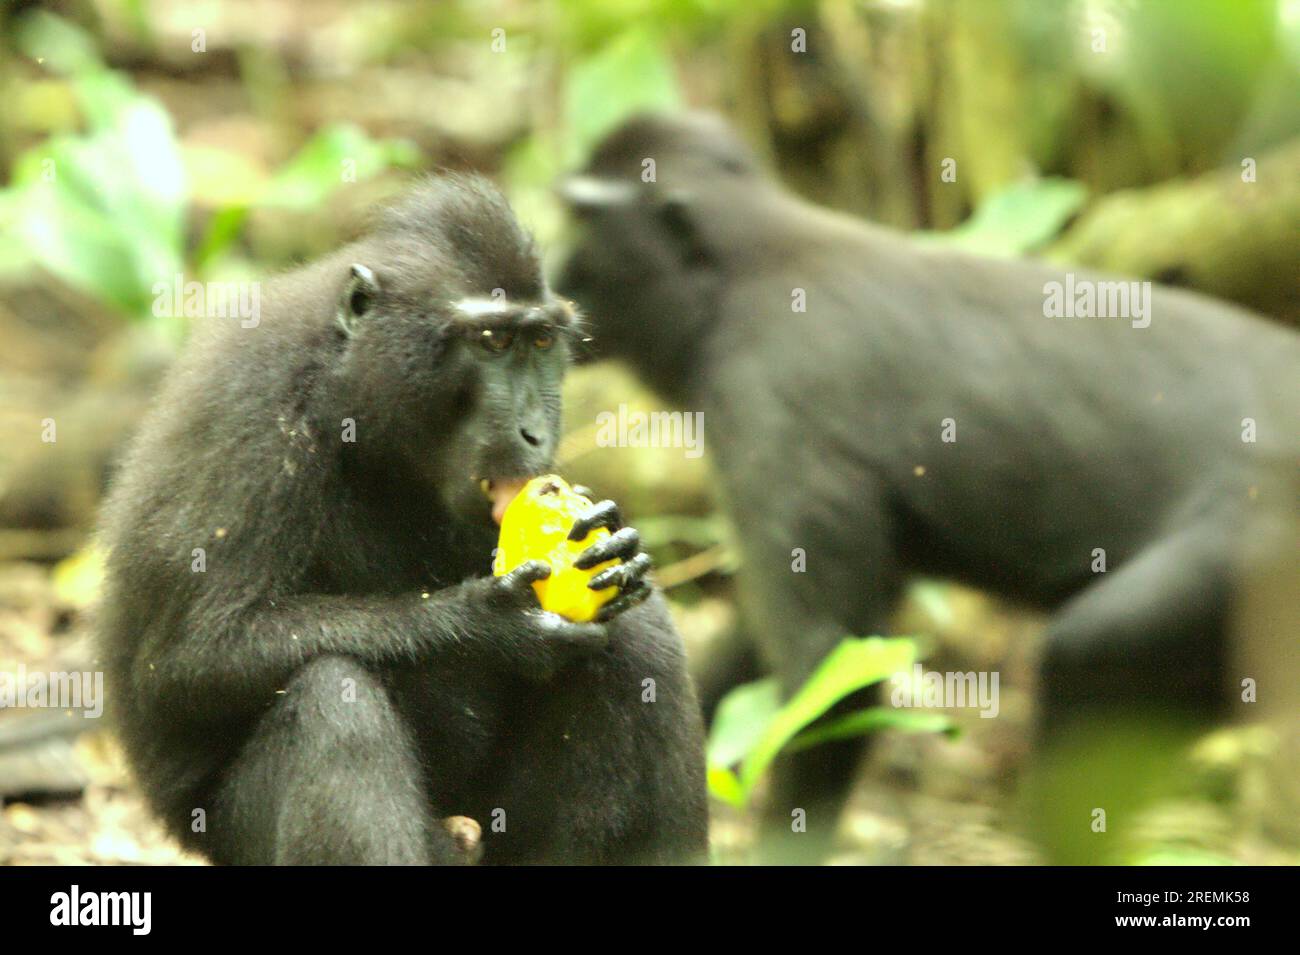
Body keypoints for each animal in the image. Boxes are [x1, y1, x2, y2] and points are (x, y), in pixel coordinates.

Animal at [96, 174, 709, 865]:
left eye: (541, 342)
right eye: (493, 342)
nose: (535, 431)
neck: (354, 402)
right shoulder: (255, 417)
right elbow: (190, 658)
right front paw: (488, 624)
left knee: (638, 640)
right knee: (335, 704)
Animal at [555, 113, 1299, 862]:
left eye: (582, 217)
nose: (554, 279)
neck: (739, 280)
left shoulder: (775, 407)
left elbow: (828, 667)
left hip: (1254, 548)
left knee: (1087, 653)